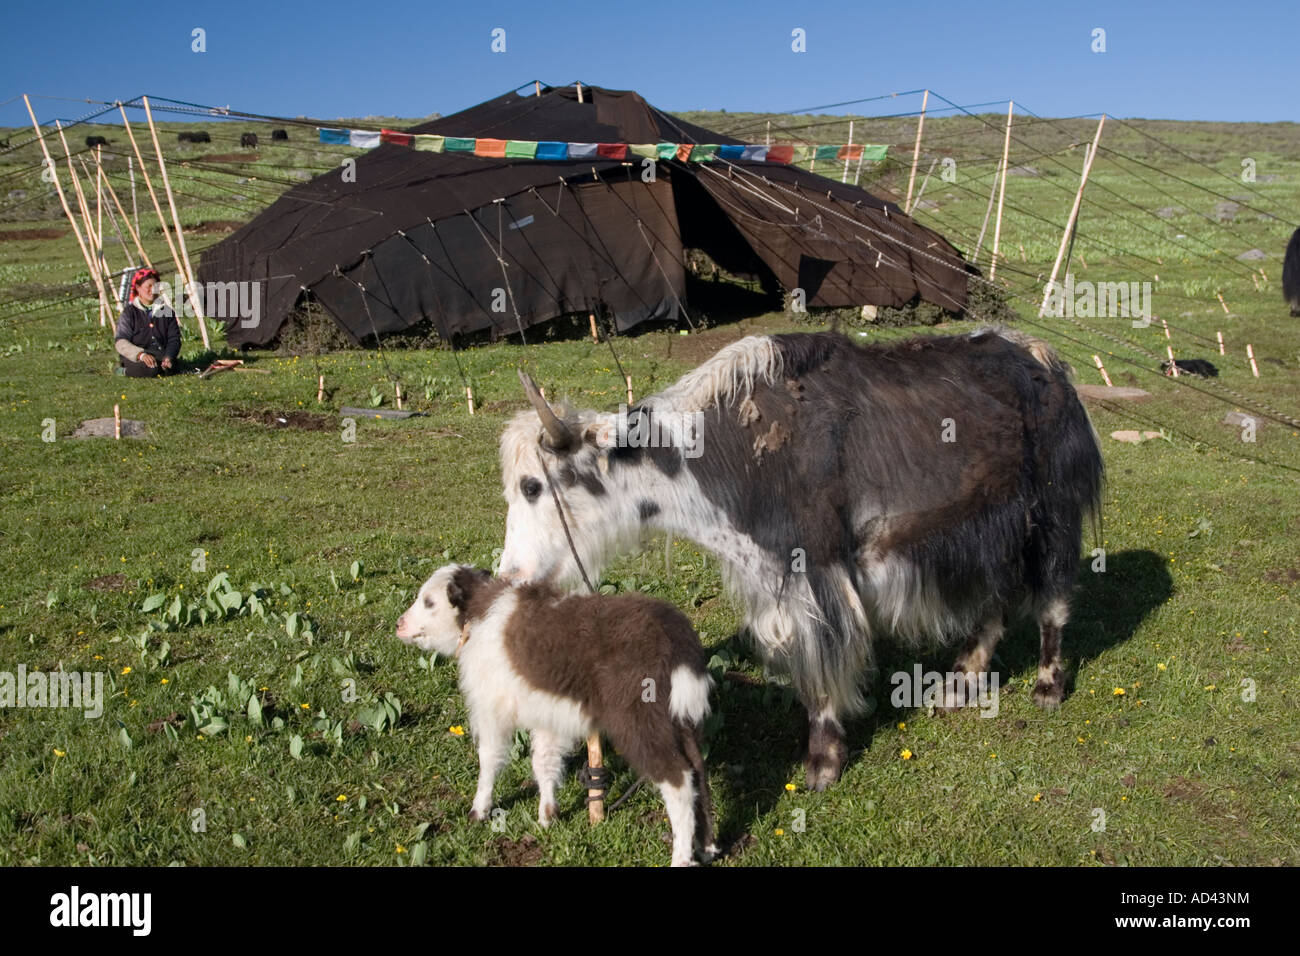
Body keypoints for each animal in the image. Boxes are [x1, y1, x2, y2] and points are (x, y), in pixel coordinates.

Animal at [498, 328, 1104, 790]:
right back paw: (958, 683)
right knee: (996, 599)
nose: (511, 576)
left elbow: (821, 666)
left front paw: (821, 764)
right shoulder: (773, 582)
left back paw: (1048, 687)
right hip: (993, 527)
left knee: (1052, 597)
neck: (715, 458)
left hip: (1053, 512)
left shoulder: (815, 572)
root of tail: (1049, 362)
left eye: (532, 486)